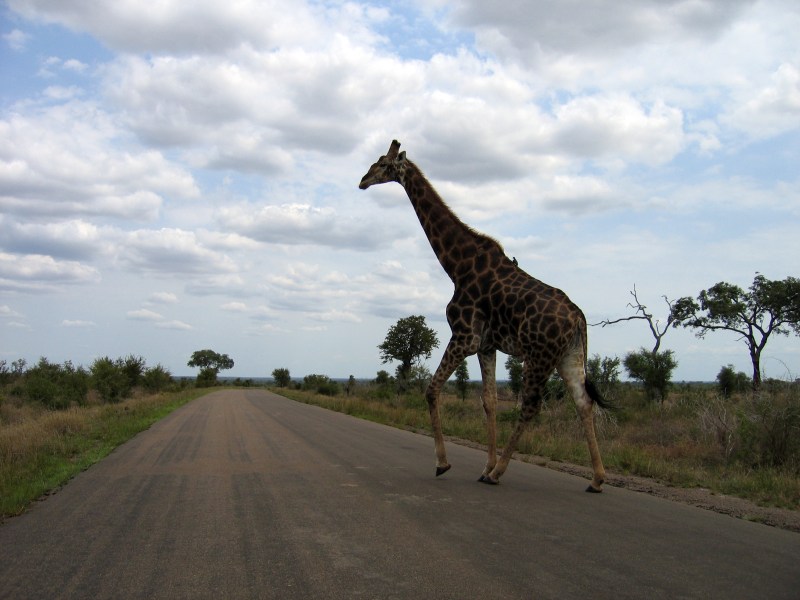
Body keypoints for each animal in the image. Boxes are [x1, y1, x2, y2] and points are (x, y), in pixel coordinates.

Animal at [359, 140, 608, 492]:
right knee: (583, 402)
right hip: (569, 356)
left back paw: (499, 473)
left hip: (539, 356)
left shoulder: (464, 336)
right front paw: (482, 465)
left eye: (382, 164)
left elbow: (432, 390)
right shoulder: (486, 345)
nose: (362, 181)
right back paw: (596, 479)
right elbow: (489, 401)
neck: (457, 266)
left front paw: (444, 464)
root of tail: (578, 318)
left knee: (531, 406)